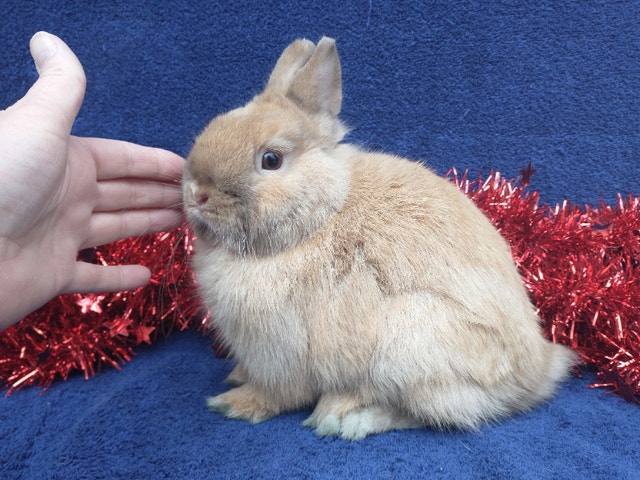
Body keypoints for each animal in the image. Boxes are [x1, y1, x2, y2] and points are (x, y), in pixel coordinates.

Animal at [182, 37, 576, 440]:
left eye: (271, 159)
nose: (198, 194)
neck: (320, 216)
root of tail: (538, 375)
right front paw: (236, 377)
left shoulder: (281, 355)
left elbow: (276, 394)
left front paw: (234, 403)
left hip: (407, 345)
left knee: (429, 413)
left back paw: (344, 416)